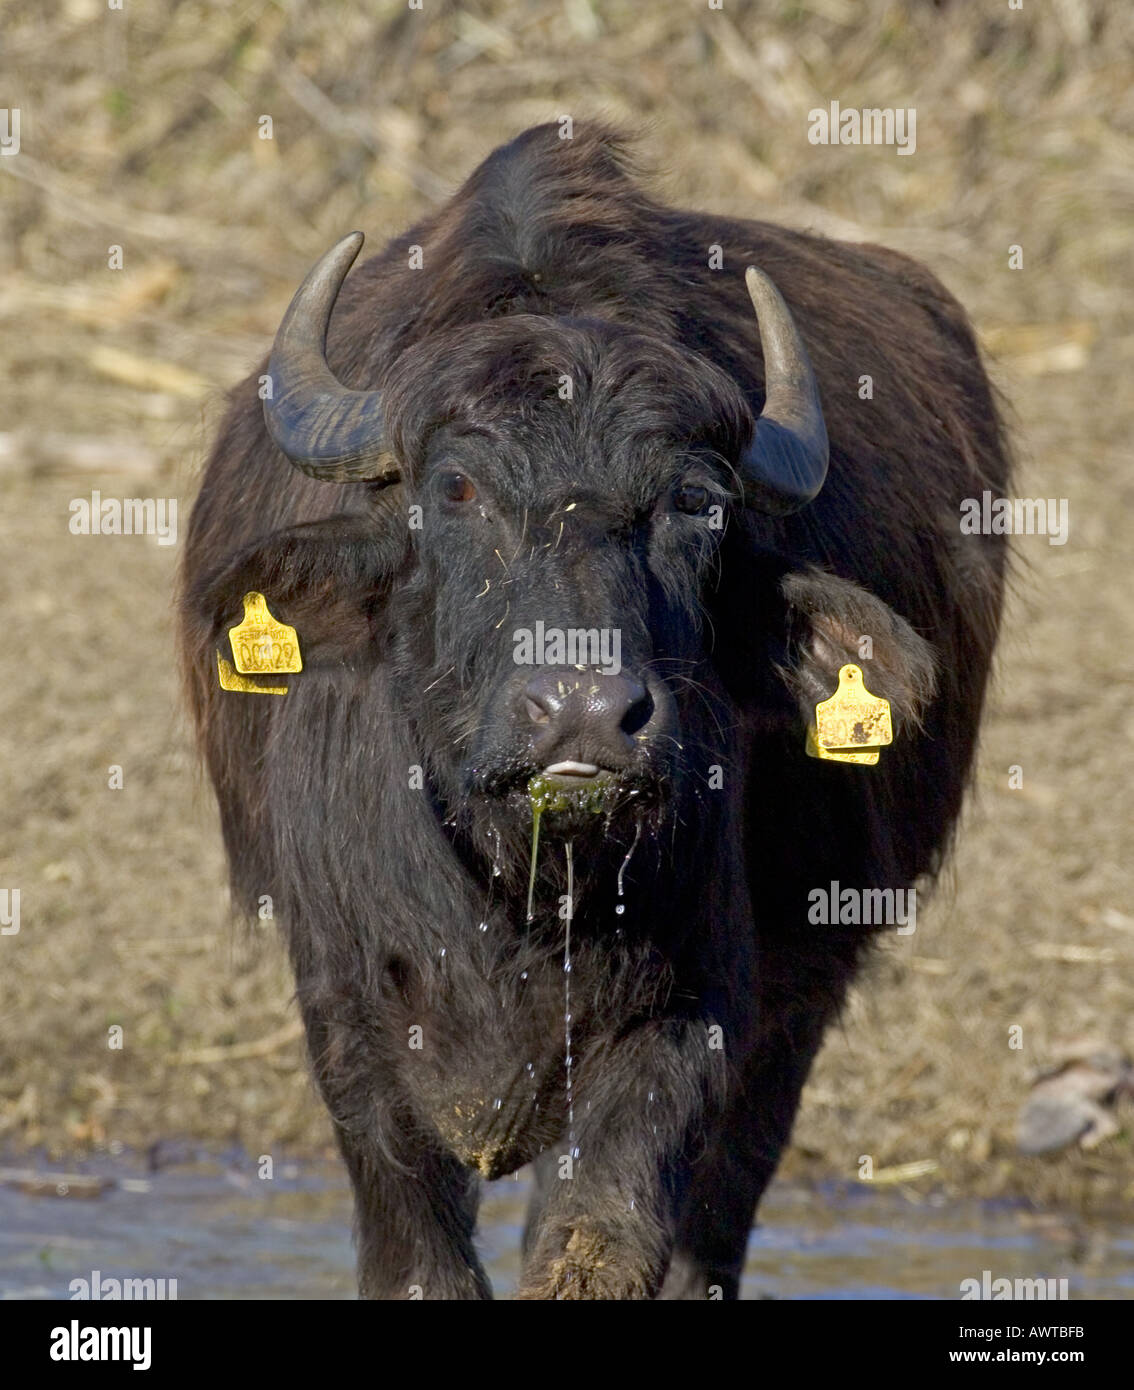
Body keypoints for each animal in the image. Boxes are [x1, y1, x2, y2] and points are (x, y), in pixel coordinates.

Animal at [178, 123, 1009, 1299]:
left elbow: (596, 1241)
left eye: (695, 502)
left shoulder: (695, 1015)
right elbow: (421, 1260)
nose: (584, 713)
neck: (523, 895)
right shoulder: (346, 1010)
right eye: (457, 490)